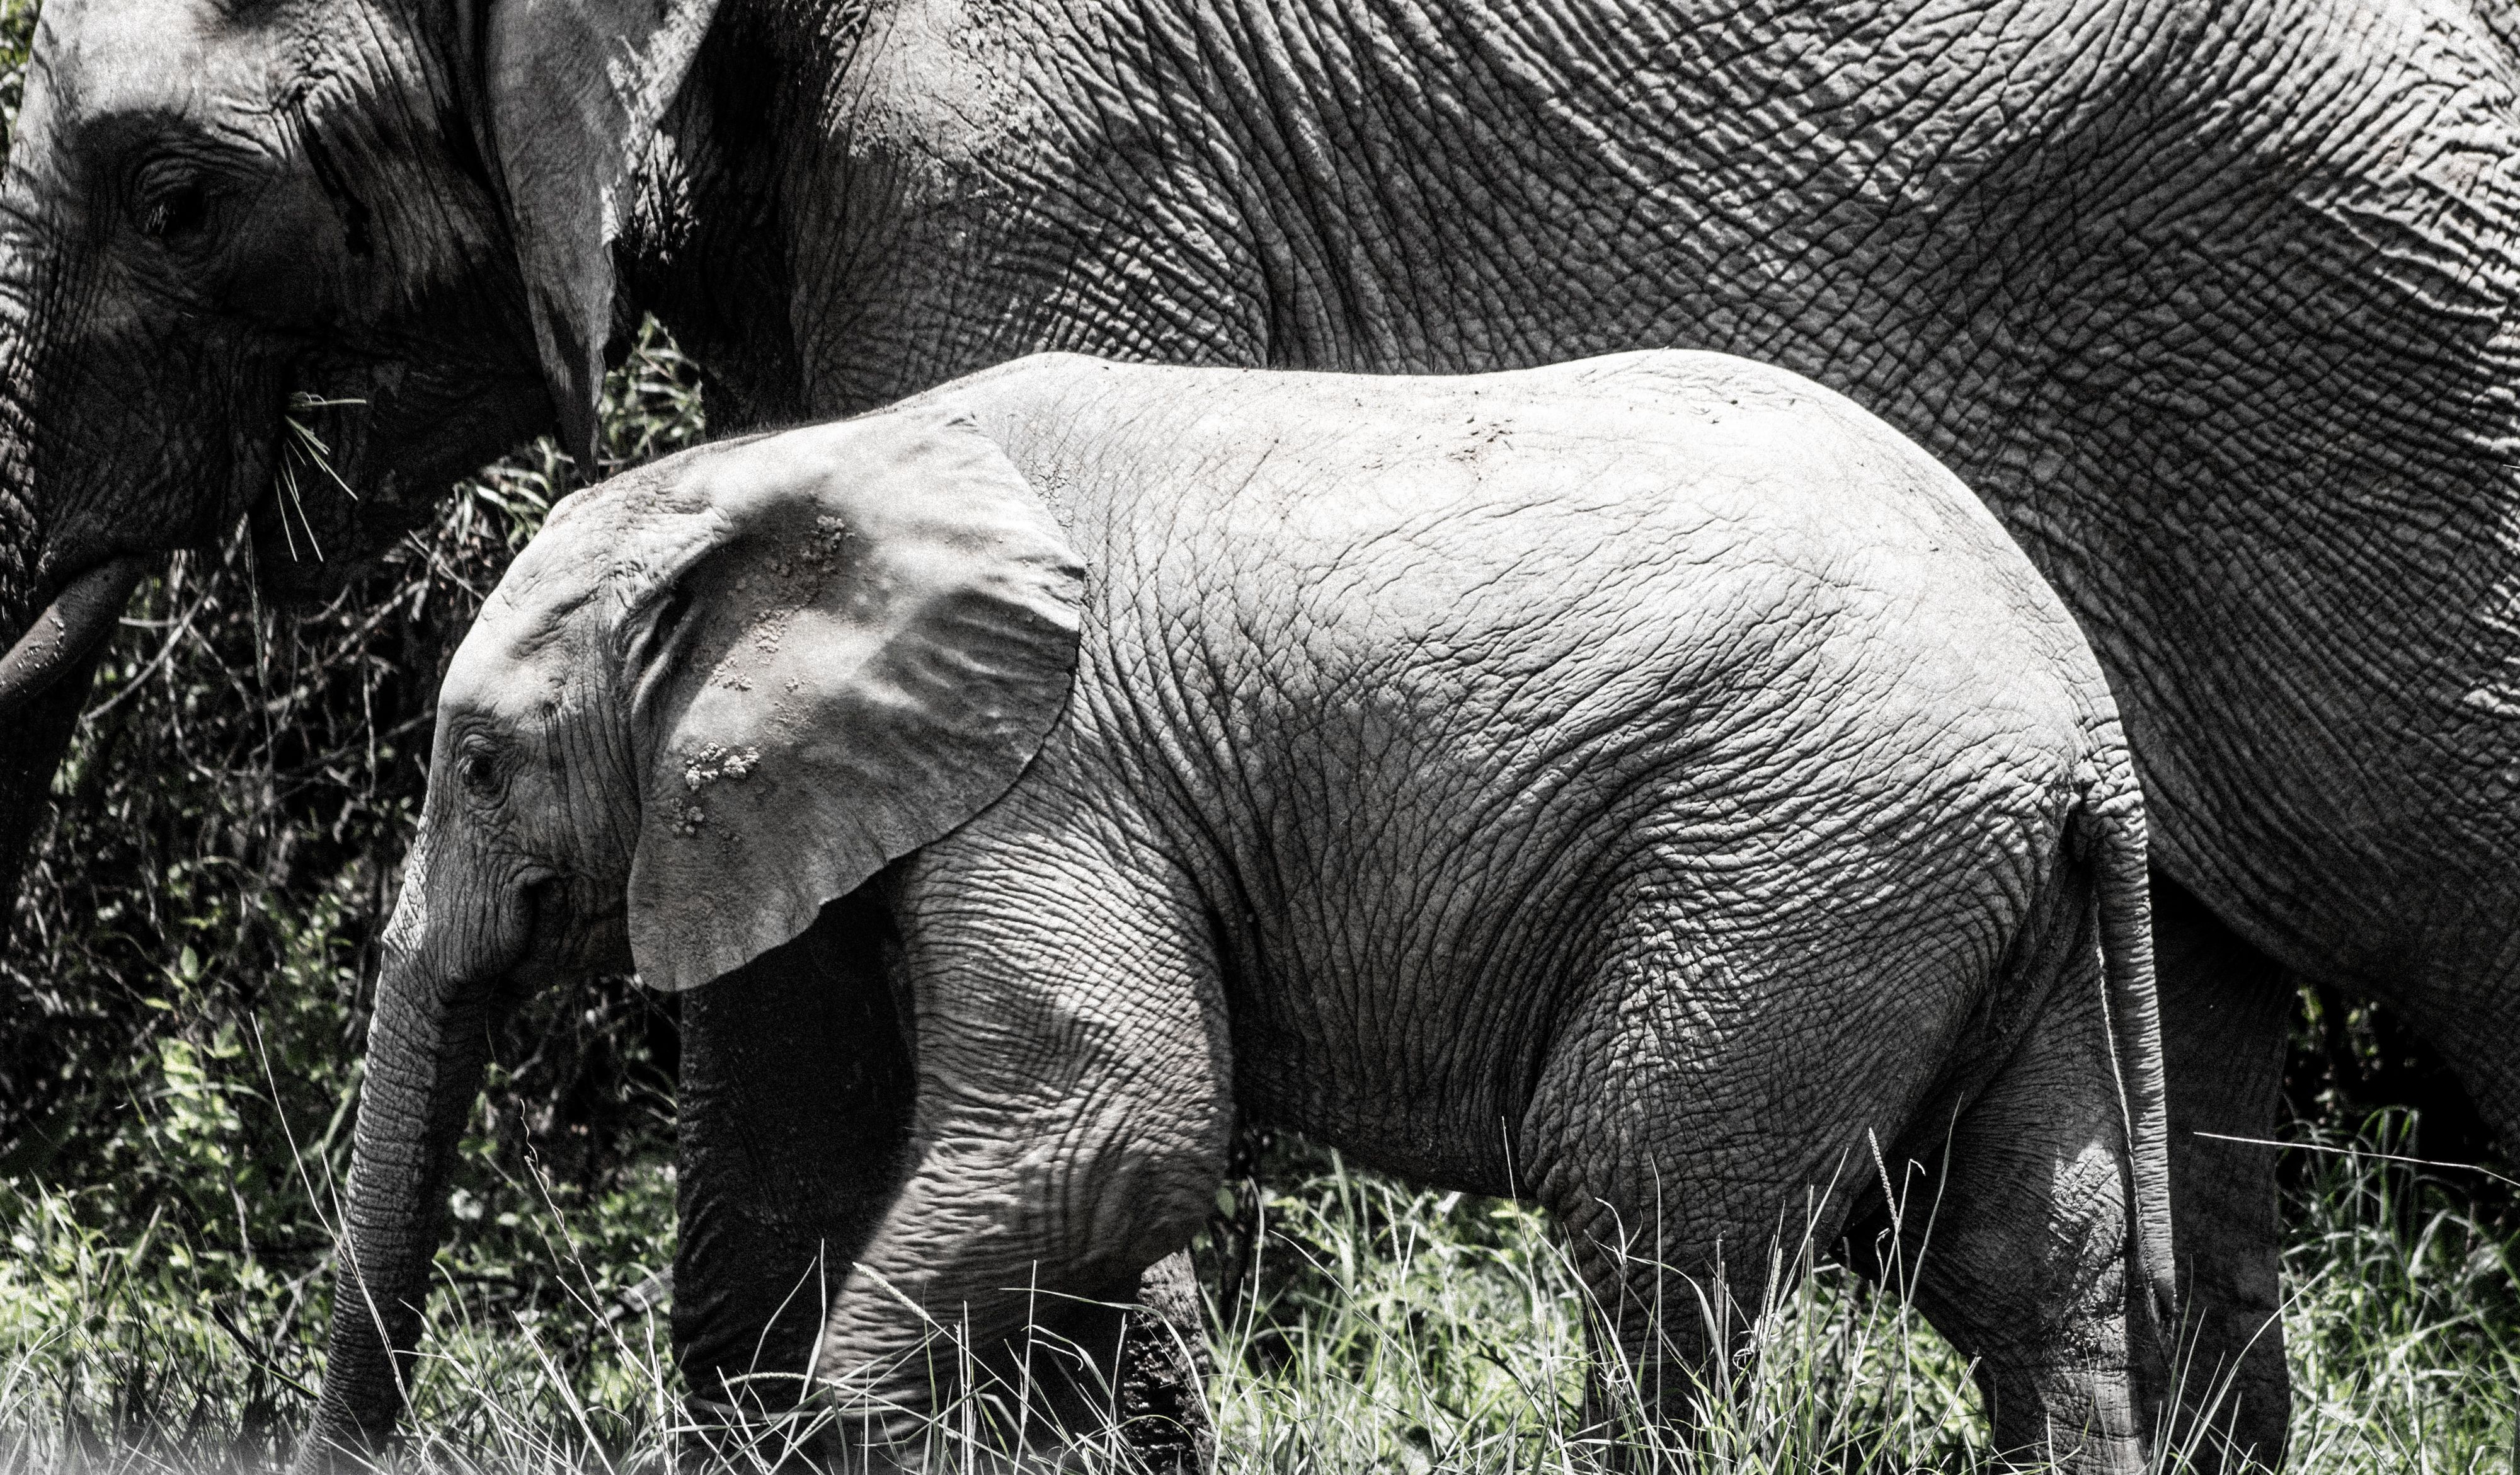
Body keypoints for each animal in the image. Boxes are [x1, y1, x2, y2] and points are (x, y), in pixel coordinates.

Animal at [301, 349, 2179, 1473]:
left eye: (479, 760)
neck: (799, 465)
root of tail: (2087, 710)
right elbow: (1075, 1182)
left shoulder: (1057, 772)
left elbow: (1108, 1121)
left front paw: (852, 1433)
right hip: (1947, 881)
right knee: (2027, 1262)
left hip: (1802, 855)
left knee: (1650, 1211)